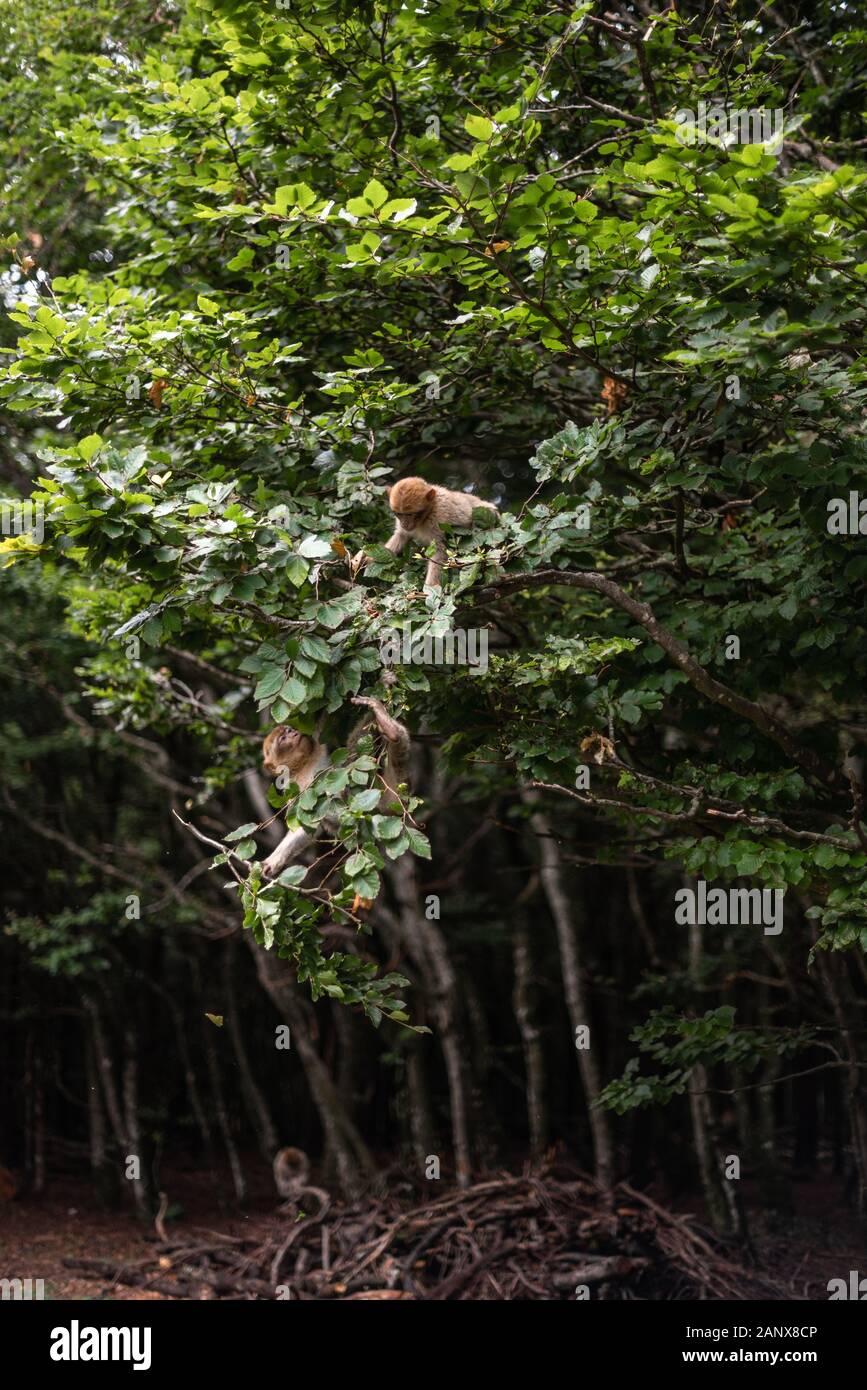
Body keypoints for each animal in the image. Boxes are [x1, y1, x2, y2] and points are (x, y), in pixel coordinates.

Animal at [258, 695, 411, 880]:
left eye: (289, 730)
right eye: (283, 739)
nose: (293, 733)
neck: (303, 765)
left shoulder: (317, 743)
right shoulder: (292, 789)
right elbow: (308, 823)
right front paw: (273, 862)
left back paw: (388, 727)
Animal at [355, 476, 499, 589]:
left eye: (410, 514)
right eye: (399, 514)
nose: (404, 523)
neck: (428, 513)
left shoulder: (439, 518)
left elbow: (439, 549)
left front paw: (430, 589)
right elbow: (401, 536)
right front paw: (364, 557)